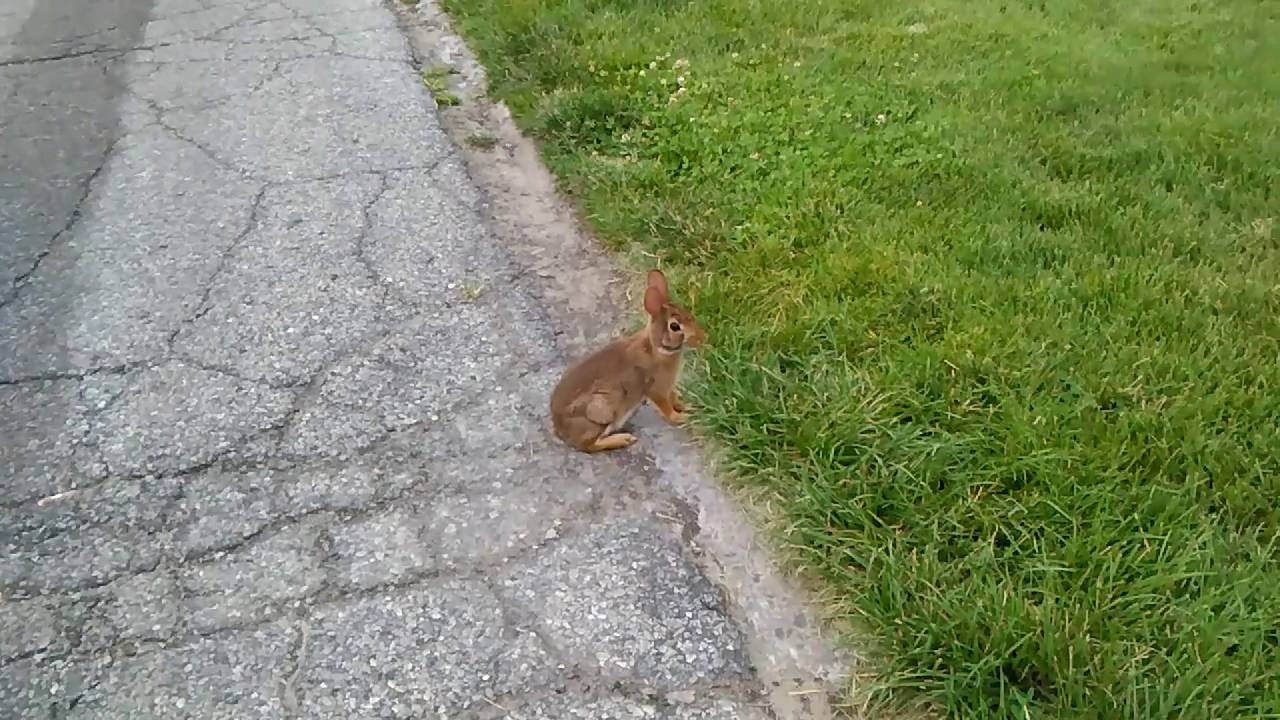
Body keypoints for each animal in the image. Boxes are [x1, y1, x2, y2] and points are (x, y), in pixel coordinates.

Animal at [550, 268, 706, 453]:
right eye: (675, 326)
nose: (703, 338)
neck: (656, 348)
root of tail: (560, 428)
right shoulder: (656, 388)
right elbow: (666, 408)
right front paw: (682, 417)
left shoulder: (668, 387)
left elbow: (674, 398)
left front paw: (688, 406)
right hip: (602, 410)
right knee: (589, 445)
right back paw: (623, 439)